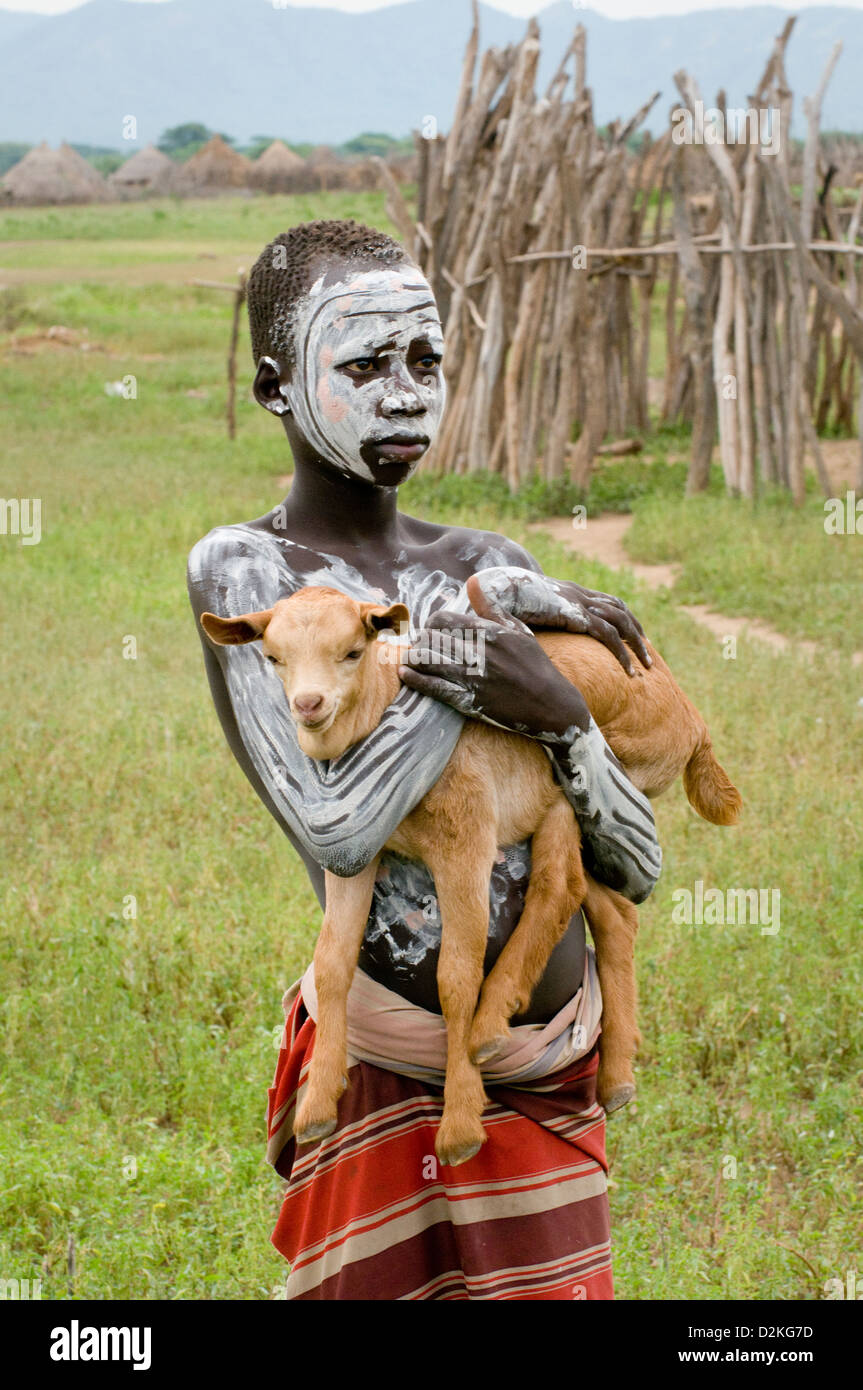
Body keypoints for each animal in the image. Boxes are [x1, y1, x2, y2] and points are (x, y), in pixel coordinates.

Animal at [202, 585, 741, 1167]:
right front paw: (318, 1106)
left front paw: (460, 1128)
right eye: (273, 657)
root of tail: (692, 723)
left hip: (589, 772)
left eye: (352, 651)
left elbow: (456, 976)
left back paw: (490, 1028)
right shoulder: (355, 853)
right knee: (612, 911)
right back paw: (616, 1077)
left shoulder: (466, 837)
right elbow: (333, 961)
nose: (309, 706)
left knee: (561, 886)